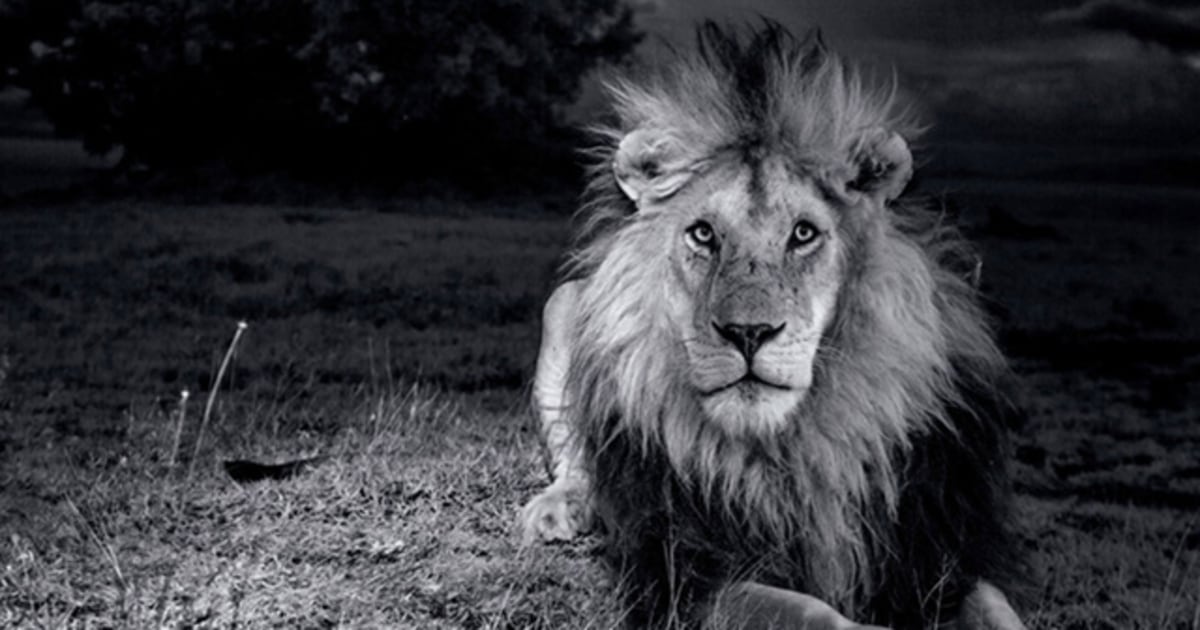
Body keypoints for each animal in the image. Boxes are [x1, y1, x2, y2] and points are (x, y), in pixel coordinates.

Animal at [521, 23, 1028, 630]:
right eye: (703, 234)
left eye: (803, 233)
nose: (748, 333)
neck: (793, 445)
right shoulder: (690, 574)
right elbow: (818, 615)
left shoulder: (932, 551)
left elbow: (999, 609)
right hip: (564, 306)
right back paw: (560, 508)